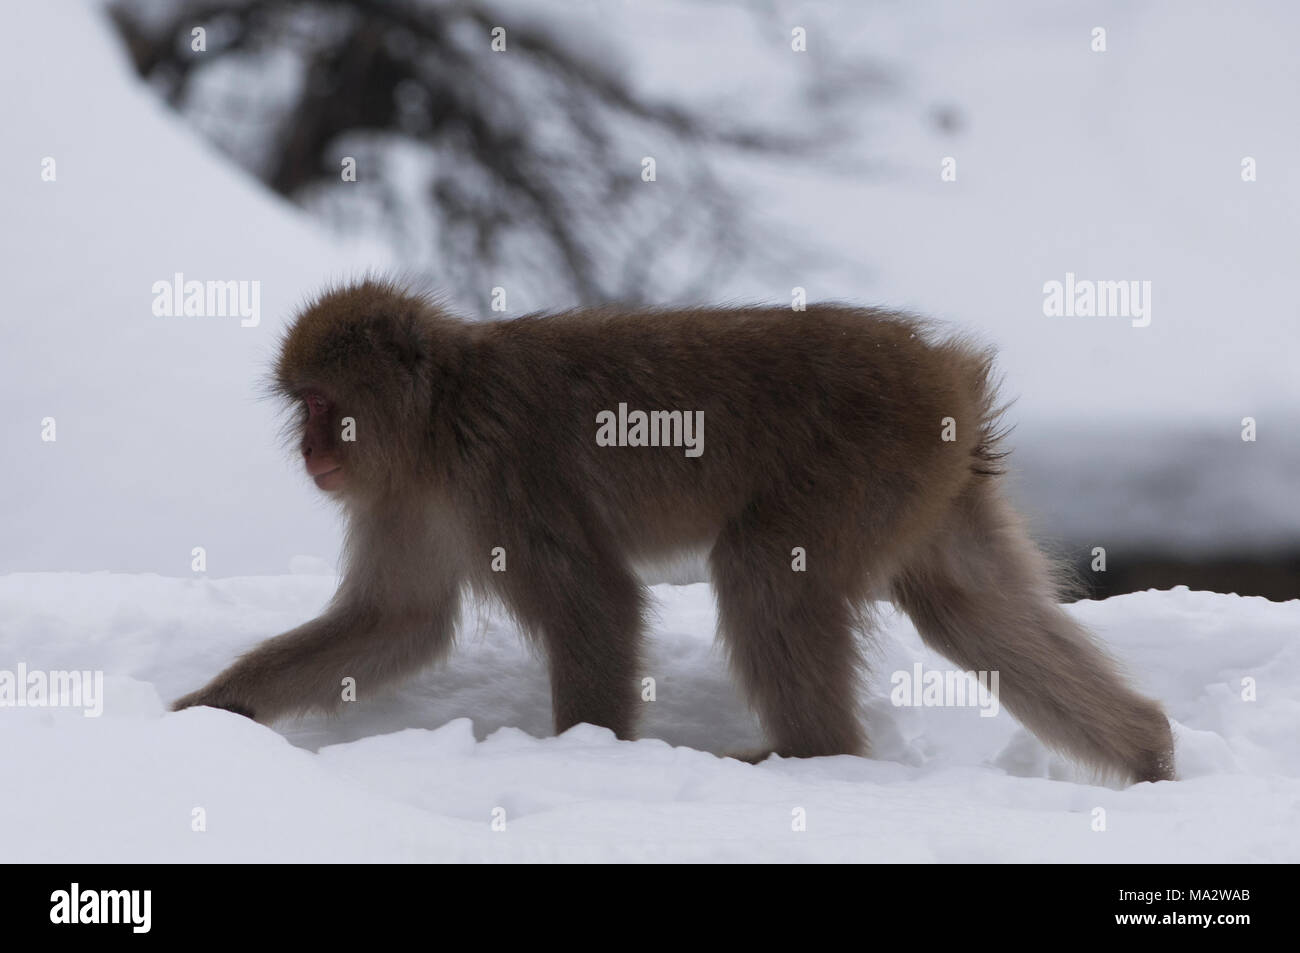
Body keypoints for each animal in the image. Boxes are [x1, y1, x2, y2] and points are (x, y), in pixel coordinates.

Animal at [173, 279, 1175, 784]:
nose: (309, 449)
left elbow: (596, 604)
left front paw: (588, 757)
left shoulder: (500, 470)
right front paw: (208, 714)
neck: (437, 417)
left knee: (764, 566)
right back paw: (1149, 750)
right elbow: (399, 620)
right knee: (969, 603)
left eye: (320, 404)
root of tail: (944, 371)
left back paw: (808, 758)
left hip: (864, 459)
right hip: (931, 485)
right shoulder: (402, 497)